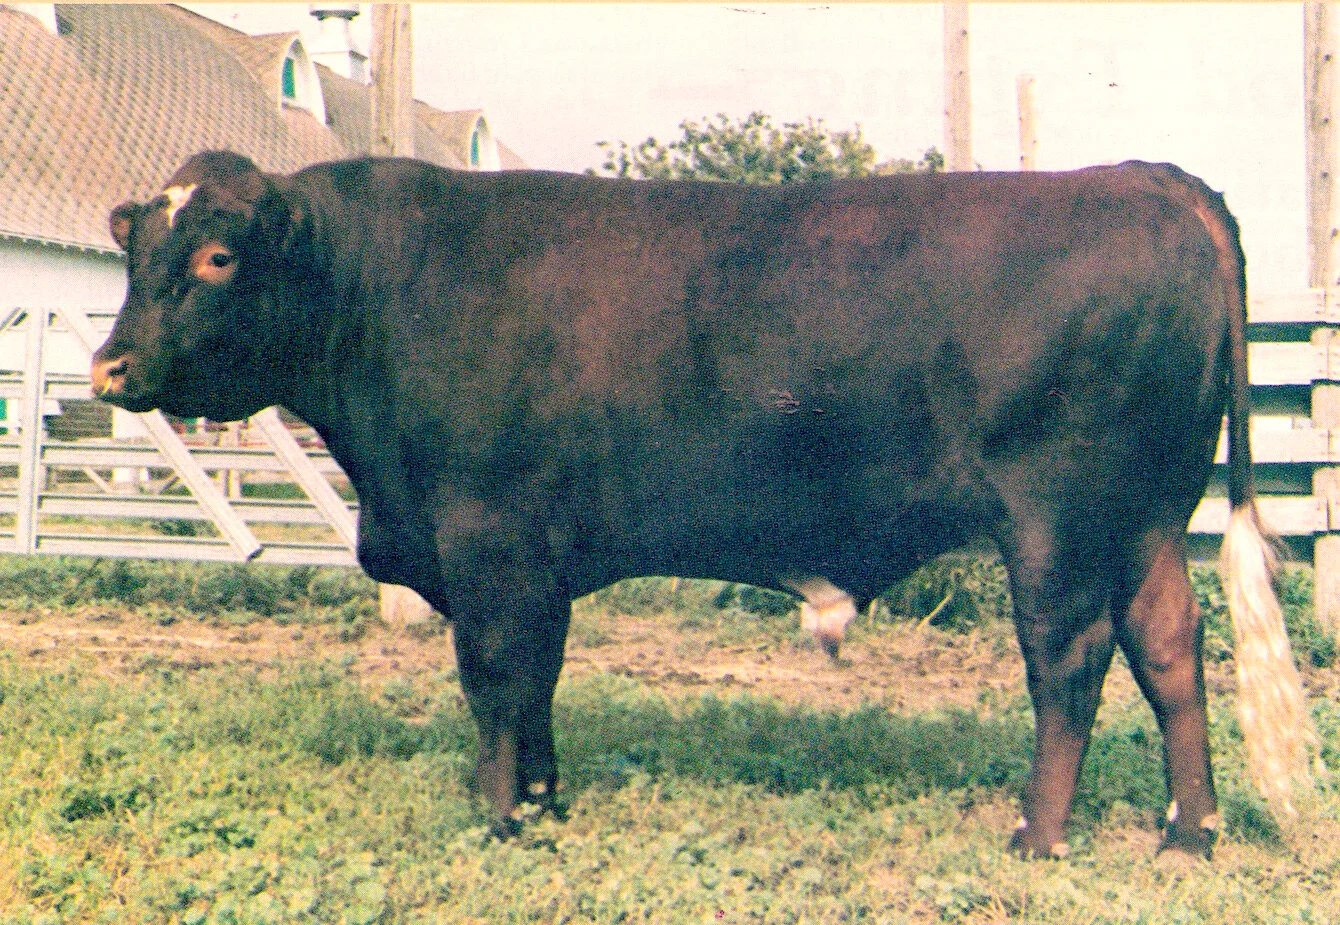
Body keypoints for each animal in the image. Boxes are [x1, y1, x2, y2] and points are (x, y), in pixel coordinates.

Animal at [92, 150, 1310, 860]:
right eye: (139, 246)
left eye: (216, 254)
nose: (109, 367)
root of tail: (1148, 179)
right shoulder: (536, 558)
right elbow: (538, 680)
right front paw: (544, 802)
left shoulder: (487, 540)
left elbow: (494, 680)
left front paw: (499, 817)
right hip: (1148, 514)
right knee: (1169, 648)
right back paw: (1186, 834)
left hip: (1055, 512)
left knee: (1069, 658)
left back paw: (1036, 835)